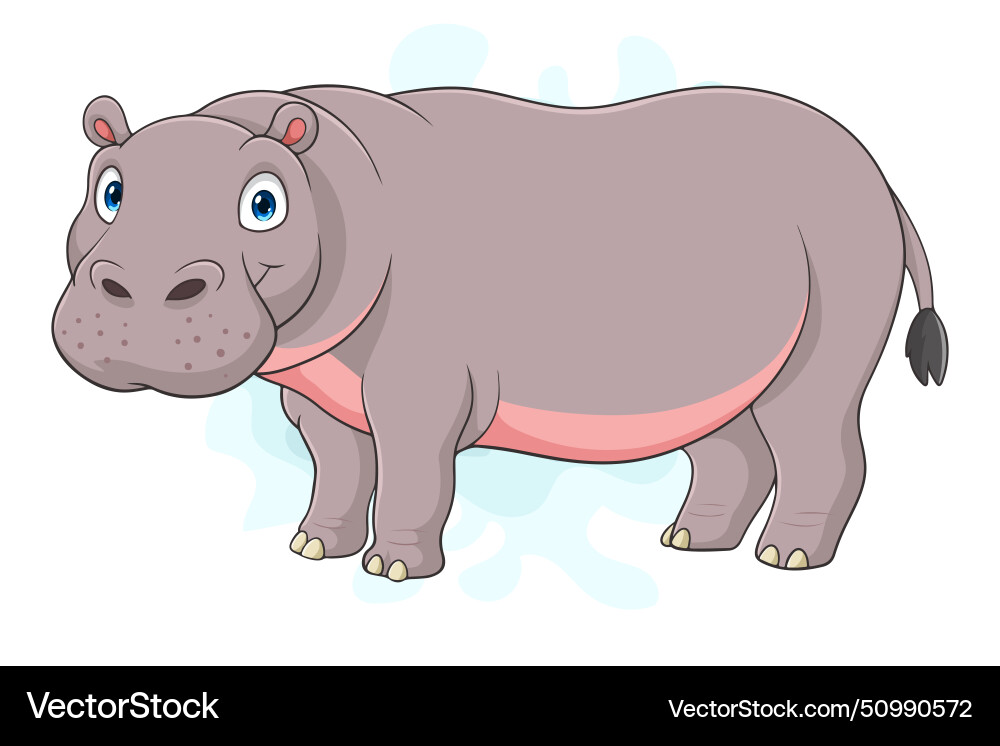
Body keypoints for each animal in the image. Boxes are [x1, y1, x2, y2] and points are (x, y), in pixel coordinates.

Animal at [53, 85, 948, 581]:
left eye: (263, 203)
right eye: (108, 189)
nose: (139, 290)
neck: (334, 182)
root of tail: (880, 175)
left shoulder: (417, 387)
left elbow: (413, 473)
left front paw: (392, 572)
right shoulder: (317, 389)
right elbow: (338, 468)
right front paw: (312, 550)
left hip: (841, 268)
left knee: (815, 424)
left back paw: (786, 561)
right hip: (718, 346)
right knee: (726, 436)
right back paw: (689, 542)